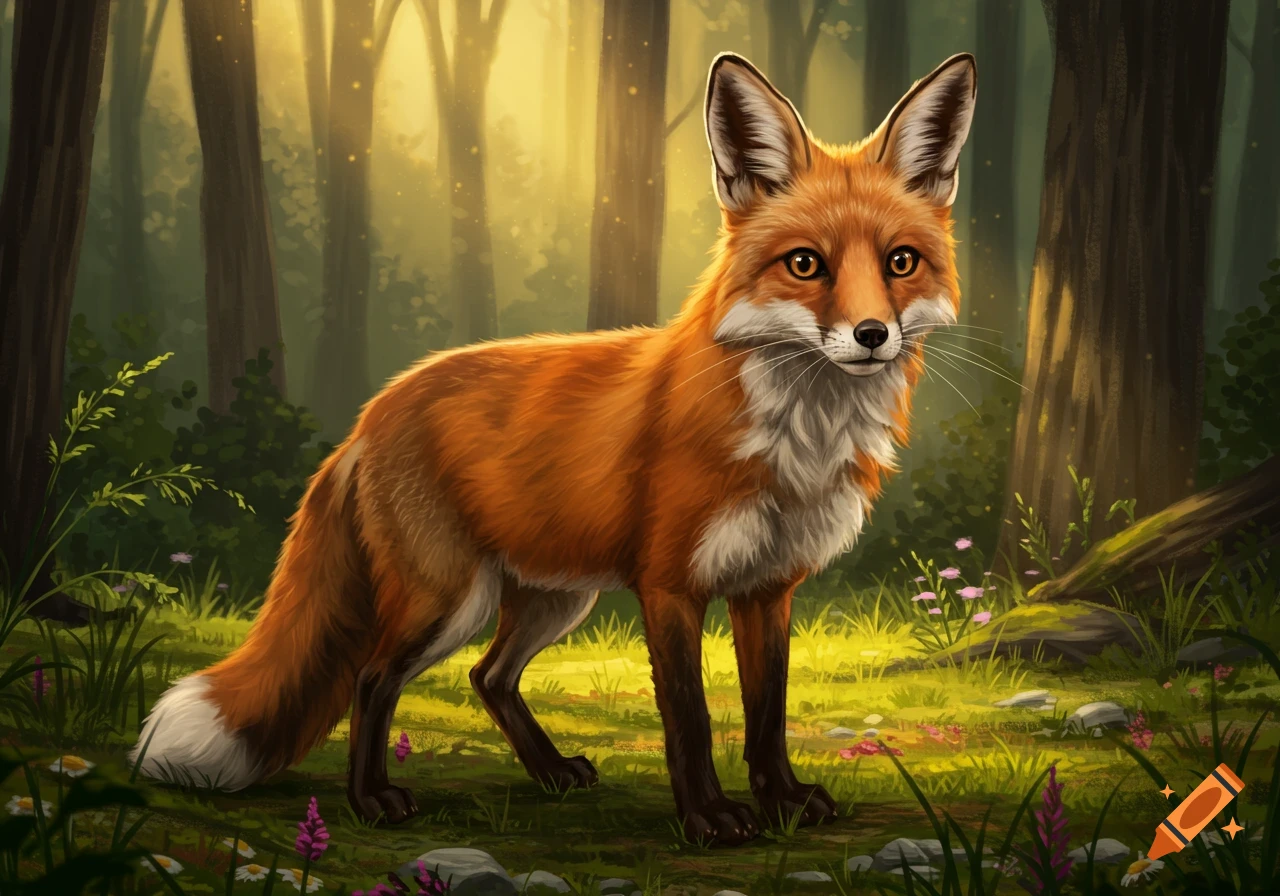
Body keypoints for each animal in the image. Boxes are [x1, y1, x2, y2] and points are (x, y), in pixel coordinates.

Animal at [132, 51, 977, 846]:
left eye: (900, 262)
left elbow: (766, 714)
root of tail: (372, 411)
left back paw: (547, 773)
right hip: (449, 597)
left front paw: (785, 804)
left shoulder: (769, 587)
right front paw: (708, 819)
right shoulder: (670, 585)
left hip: (555, 598)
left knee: (488, 676)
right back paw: (372, 802)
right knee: (374, 679)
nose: (872, 335)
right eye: (805, 264)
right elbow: (692, 718)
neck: (797, 439)